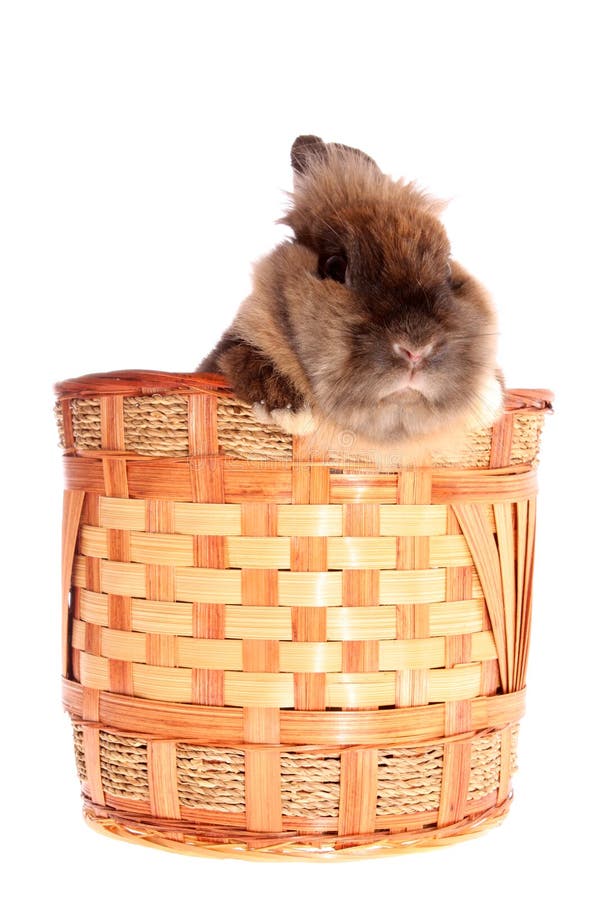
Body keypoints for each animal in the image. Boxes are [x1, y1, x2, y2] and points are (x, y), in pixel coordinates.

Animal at [198, 134, 503, 452]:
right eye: (335, 266)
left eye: (447, 269)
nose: (416, 350)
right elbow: (240, 351)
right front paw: (293, 411)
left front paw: (488, 401)